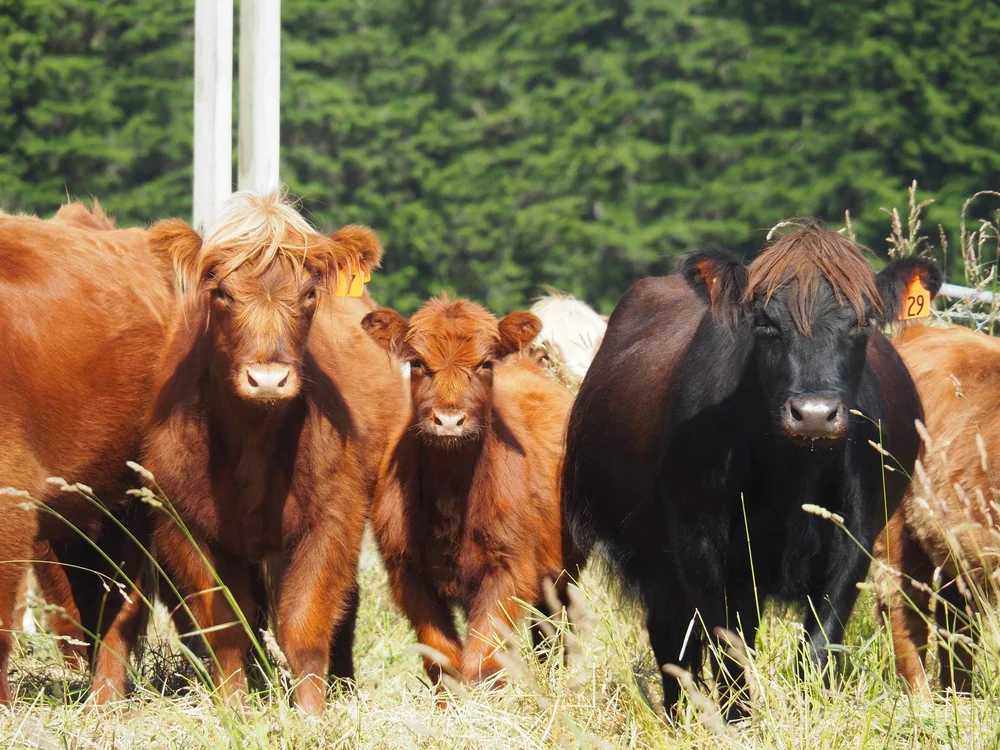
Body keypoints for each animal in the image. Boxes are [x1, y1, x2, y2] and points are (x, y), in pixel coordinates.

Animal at [140, 190, 402, 716]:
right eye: (220, 291)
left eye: (309, 294)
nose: (266, 379)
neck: (253, 442)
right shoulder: (185, 525)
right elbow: (225, 626)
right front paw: (235, 709)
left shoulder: (332, 519)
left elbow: (303, 626)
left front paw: (311, 715)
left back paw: (343, 684)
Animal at [360, 296, 577, 687]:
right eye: (417, 362)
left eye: (485, 363)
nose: (449, 421)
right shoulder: (408, 576)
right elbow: (442, 661)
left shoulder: (509, 570)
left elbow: (482, 663)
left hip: (561, 571)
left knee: (553, 630)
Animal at [562, 225, 942, 719]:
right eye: (765, 323)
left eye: (862, 323)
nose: (814, 414)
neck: (792, 478)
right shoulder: (698, 544)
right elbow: (726, 646)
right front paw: (737, 720)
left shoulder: (855, 540)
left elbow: (819, 643)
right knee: (673, 640)